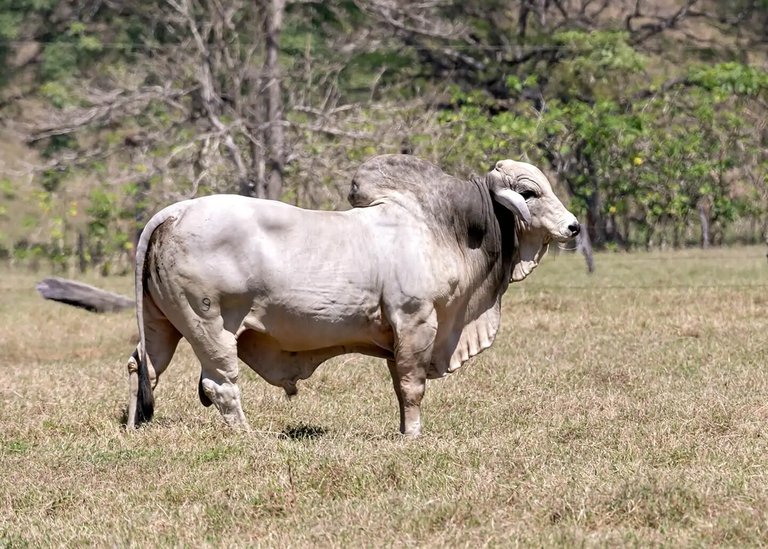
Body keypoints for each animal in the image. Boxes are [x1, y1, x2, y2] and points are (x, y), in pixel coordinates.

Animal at [125, 154, 579, 437]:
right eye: (530, 193)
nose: (573, 227)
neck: (447, 229)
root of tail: (175, 211)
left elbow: (400, 385)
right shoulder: (416, 321)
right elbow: (411, 386)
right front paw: (413, 437)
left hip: (162, 324)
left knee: (143, 367)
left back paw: (136, 425)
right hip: (210, 325)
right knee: (220, 384)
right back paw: (248, 436)